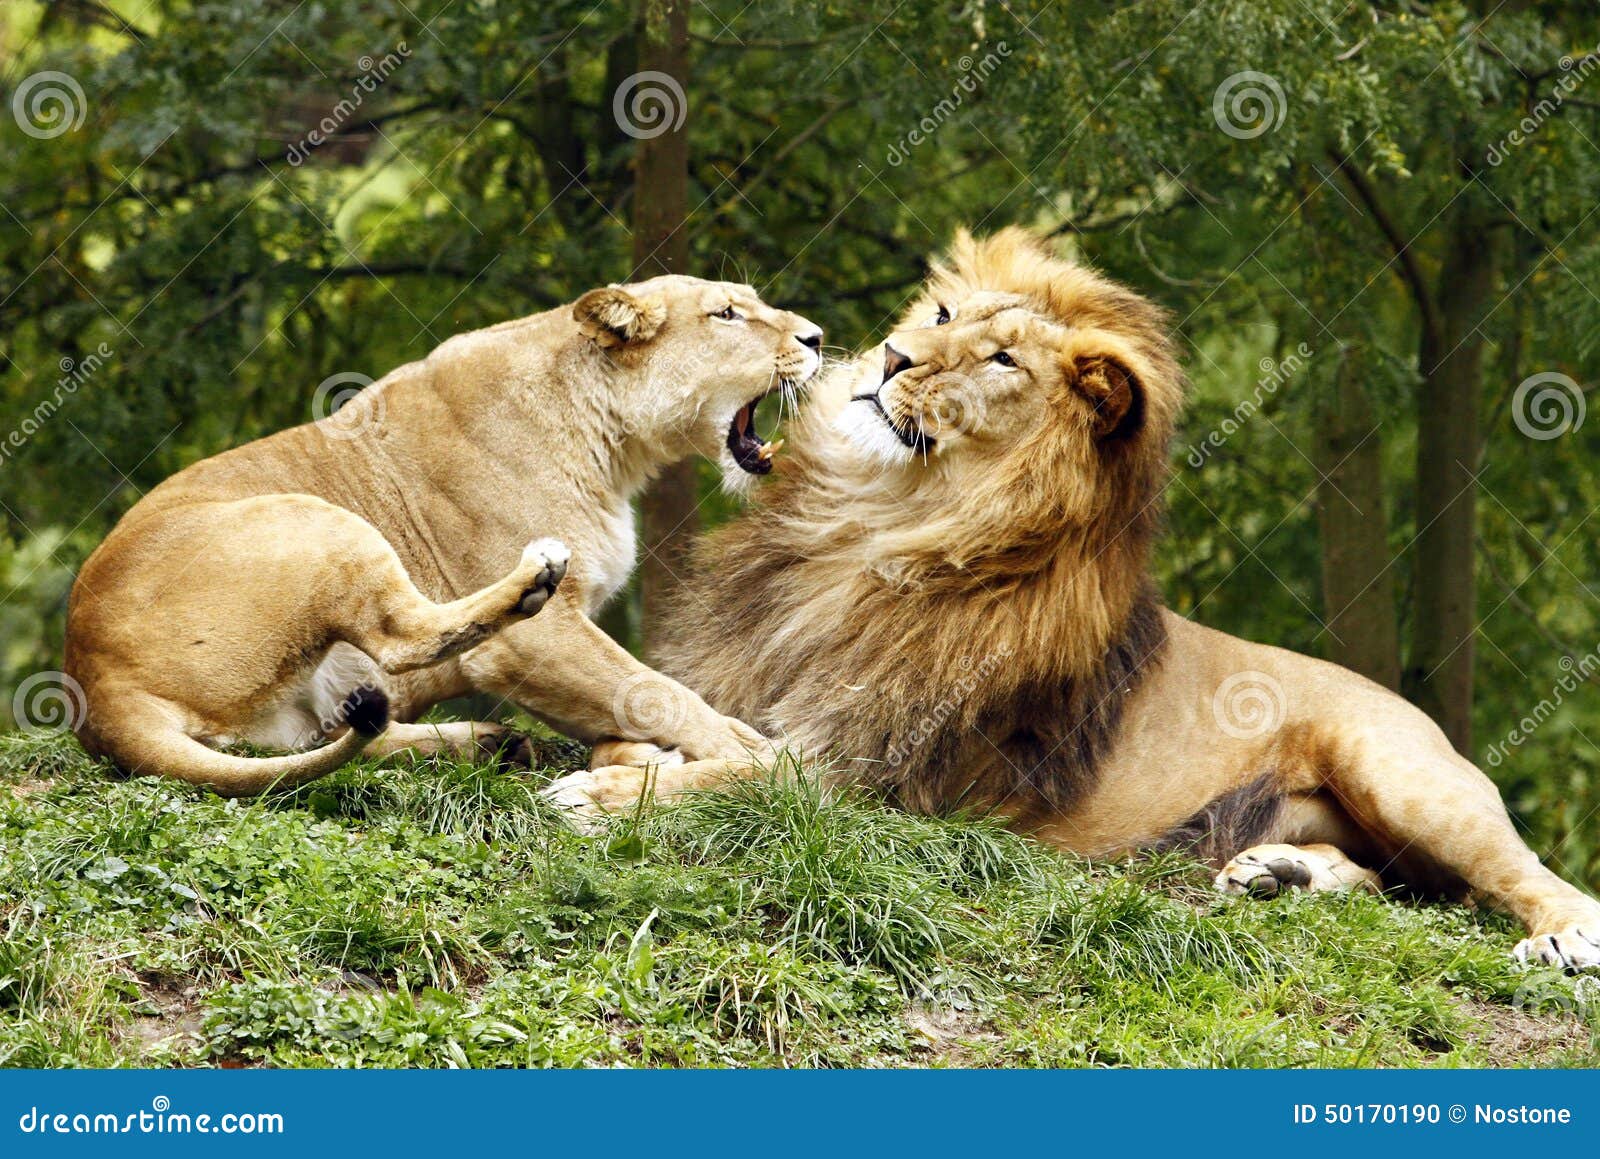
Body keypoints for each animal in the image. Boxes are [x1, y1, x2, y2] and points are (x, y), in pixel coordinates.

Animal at [65, 276, 822, 796]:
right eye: (727, 314)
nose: (815, 337)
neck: (615, 446)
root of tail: (93, 683)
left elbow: (632, 701)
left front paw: (642, 757)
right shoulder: (535, 642)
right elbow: (660, 690)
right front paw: (758, 756)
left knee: (325, 739)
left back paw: (489, 744)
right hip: (322, 517)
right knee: (401, 639)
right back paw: (531, 584)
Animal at [544, 230, 1600, 971]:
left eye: (1002, 359)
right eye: (940, 314)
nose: (890, 356)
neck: (873, 523)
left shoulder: (871, 776)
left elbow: (741, 777)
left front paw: (607, 795)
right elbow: (680, 737)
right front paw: (624, 762)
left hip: (1402, 772)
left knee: (1532, 879)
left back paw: (1558, 938)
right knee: (1386, 883)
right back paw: (1277, 871)